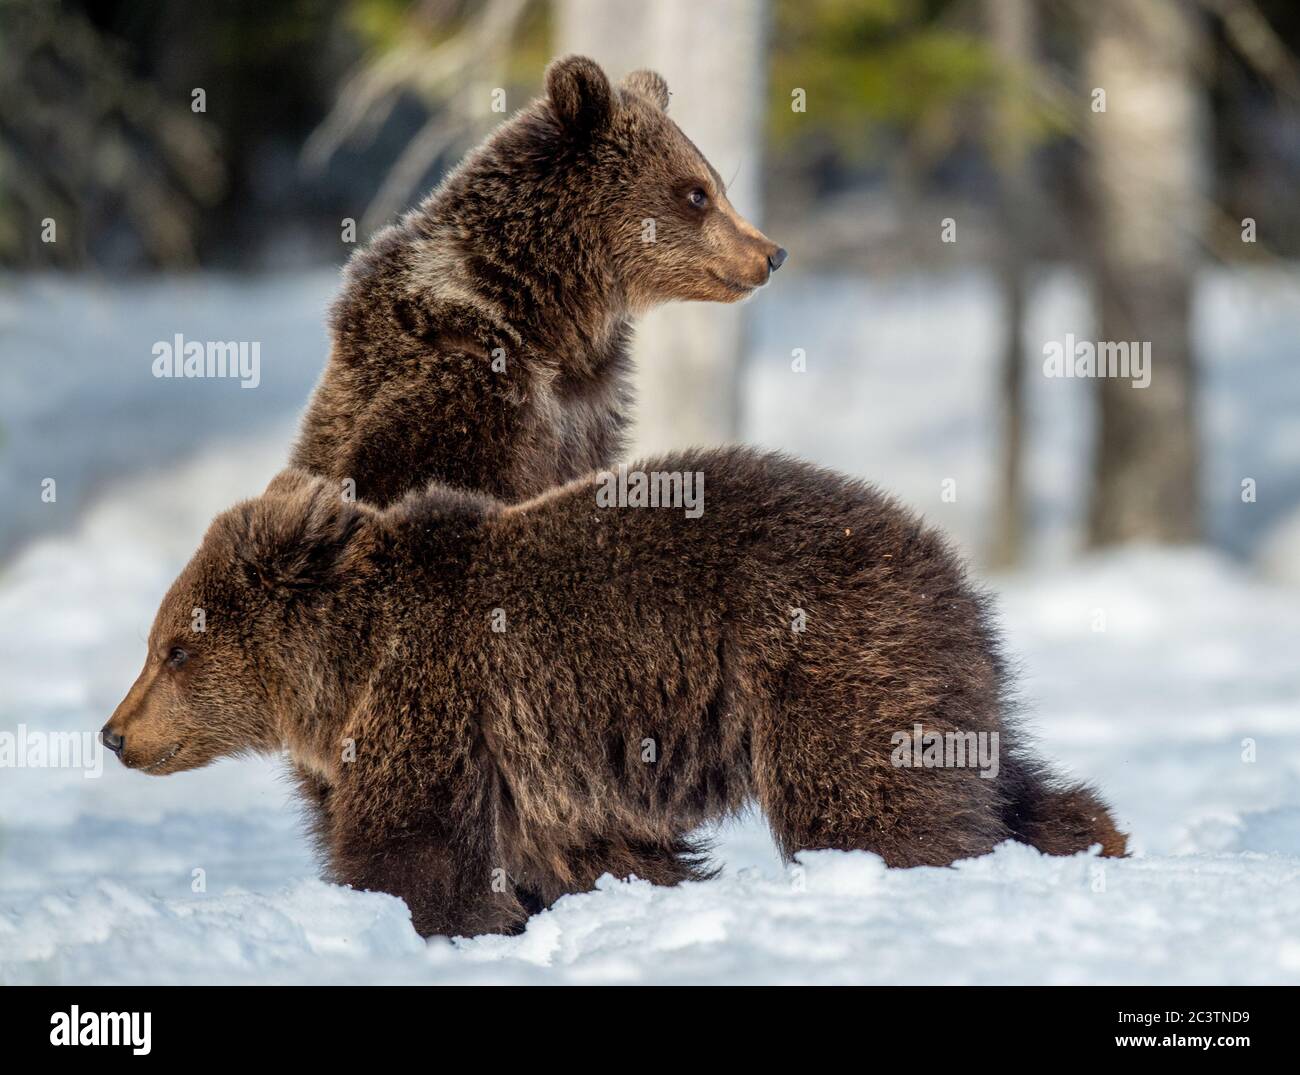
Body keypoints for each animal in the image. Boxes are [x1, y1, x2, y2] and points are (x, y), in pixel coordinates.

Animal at [101, 448, 1126, 939]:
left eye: (173, 647)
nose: (113, 732)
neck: (348, 665)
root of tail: (941, 556)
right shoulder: (546, 757)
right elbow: (591, 850)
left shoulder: (437, 699)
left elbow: (414, 843)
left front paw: (416, 919)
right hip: (930, 676)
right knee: (993, 776)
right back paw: (1091, 837)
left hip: (823, 662)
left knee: (868, 801)